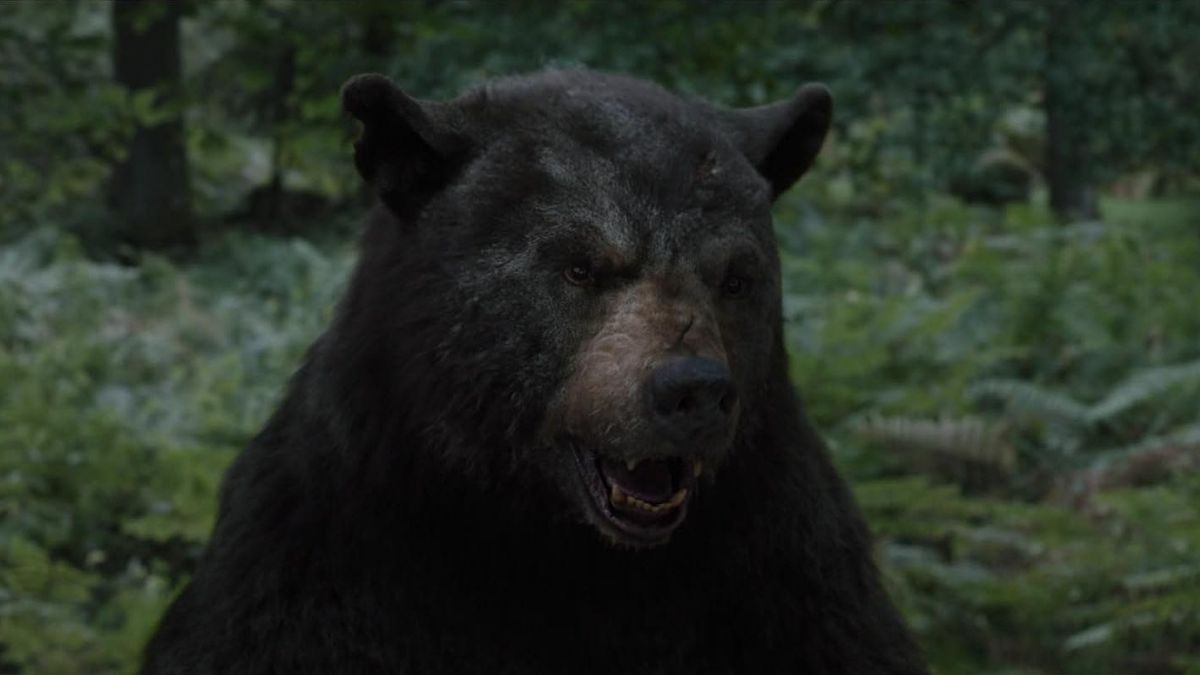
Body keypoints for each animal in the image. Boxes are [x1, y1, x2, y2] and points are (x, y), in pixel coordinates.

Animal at [140, 69, 929, 674]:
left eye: (736, 276)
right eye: (581, 265)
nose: (693, 391)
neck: (548, 550)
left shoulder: (785, 571)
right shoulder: (322, 561)